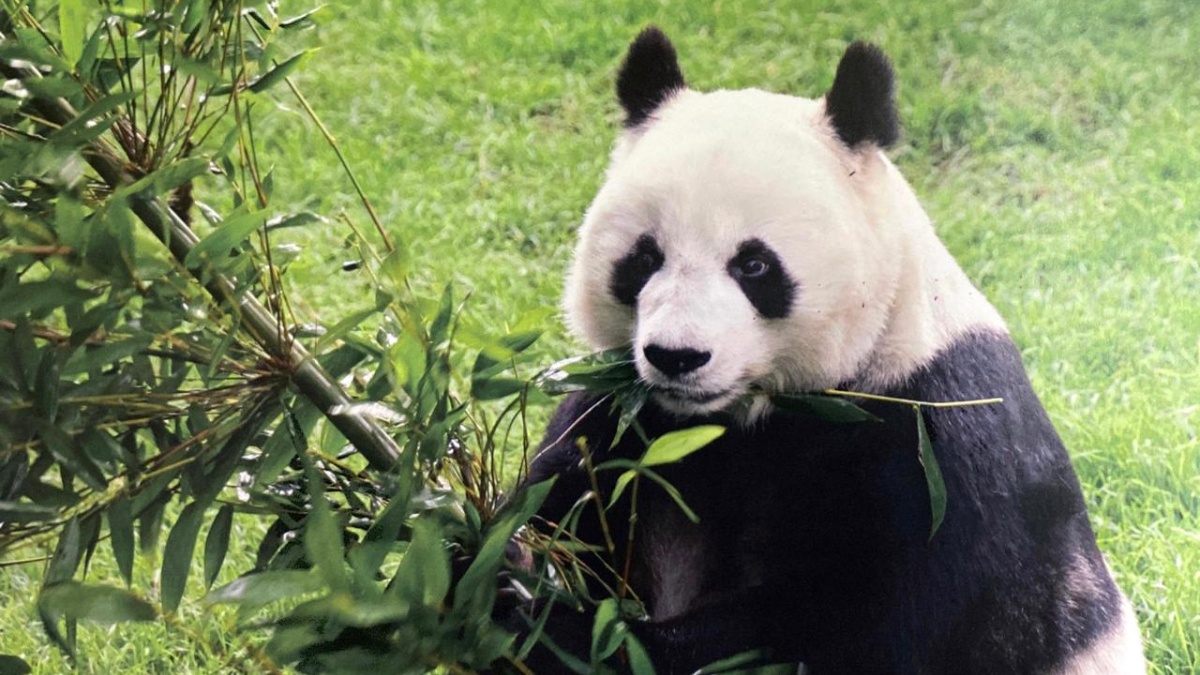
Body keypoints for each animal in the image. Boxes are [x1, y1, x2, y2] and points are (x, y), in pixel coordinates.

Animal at [509, 27, 1146, 675]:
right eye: (643, 258)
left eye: (754, 265)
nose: (677, 356)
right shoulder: (623, 420)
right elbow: (561, 501)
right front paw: (503, 567)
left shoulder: (935, 449)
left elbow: (858, 626)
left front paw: (556, 624)